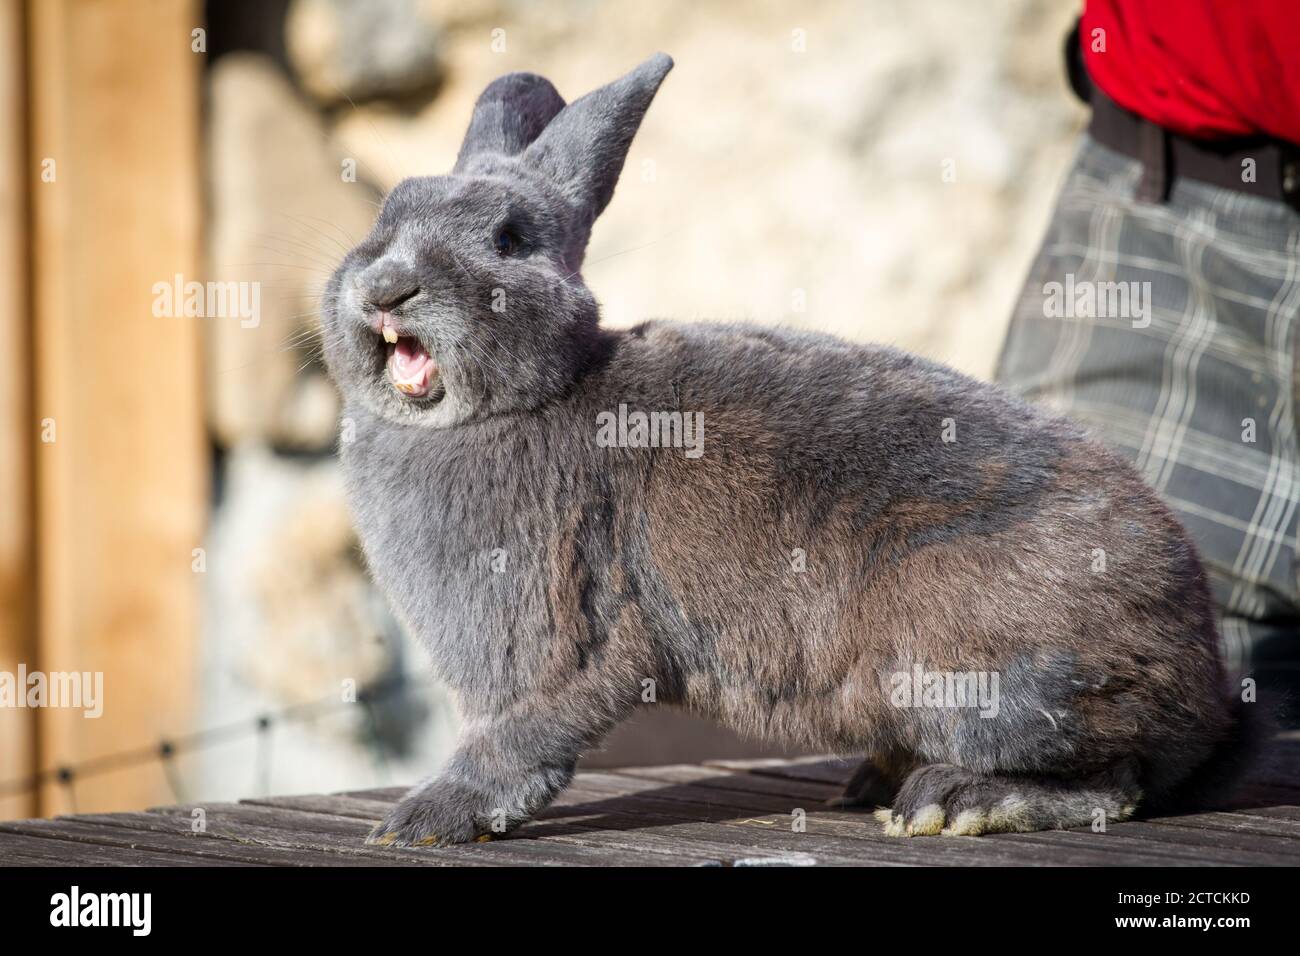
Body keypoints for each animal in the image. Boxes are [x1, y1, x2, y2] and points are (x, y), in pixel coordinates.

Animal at [319, 53, 1262, 847]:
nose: (387, 288)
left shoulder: (552, 640)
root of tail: (1202, 666)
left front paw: (421, 823)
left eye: (509, 239)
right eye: (383, 221)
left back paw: (952, 801)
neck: (530, 397)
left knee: (1119, 780)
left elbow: (518, 741)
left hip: (976, 663)